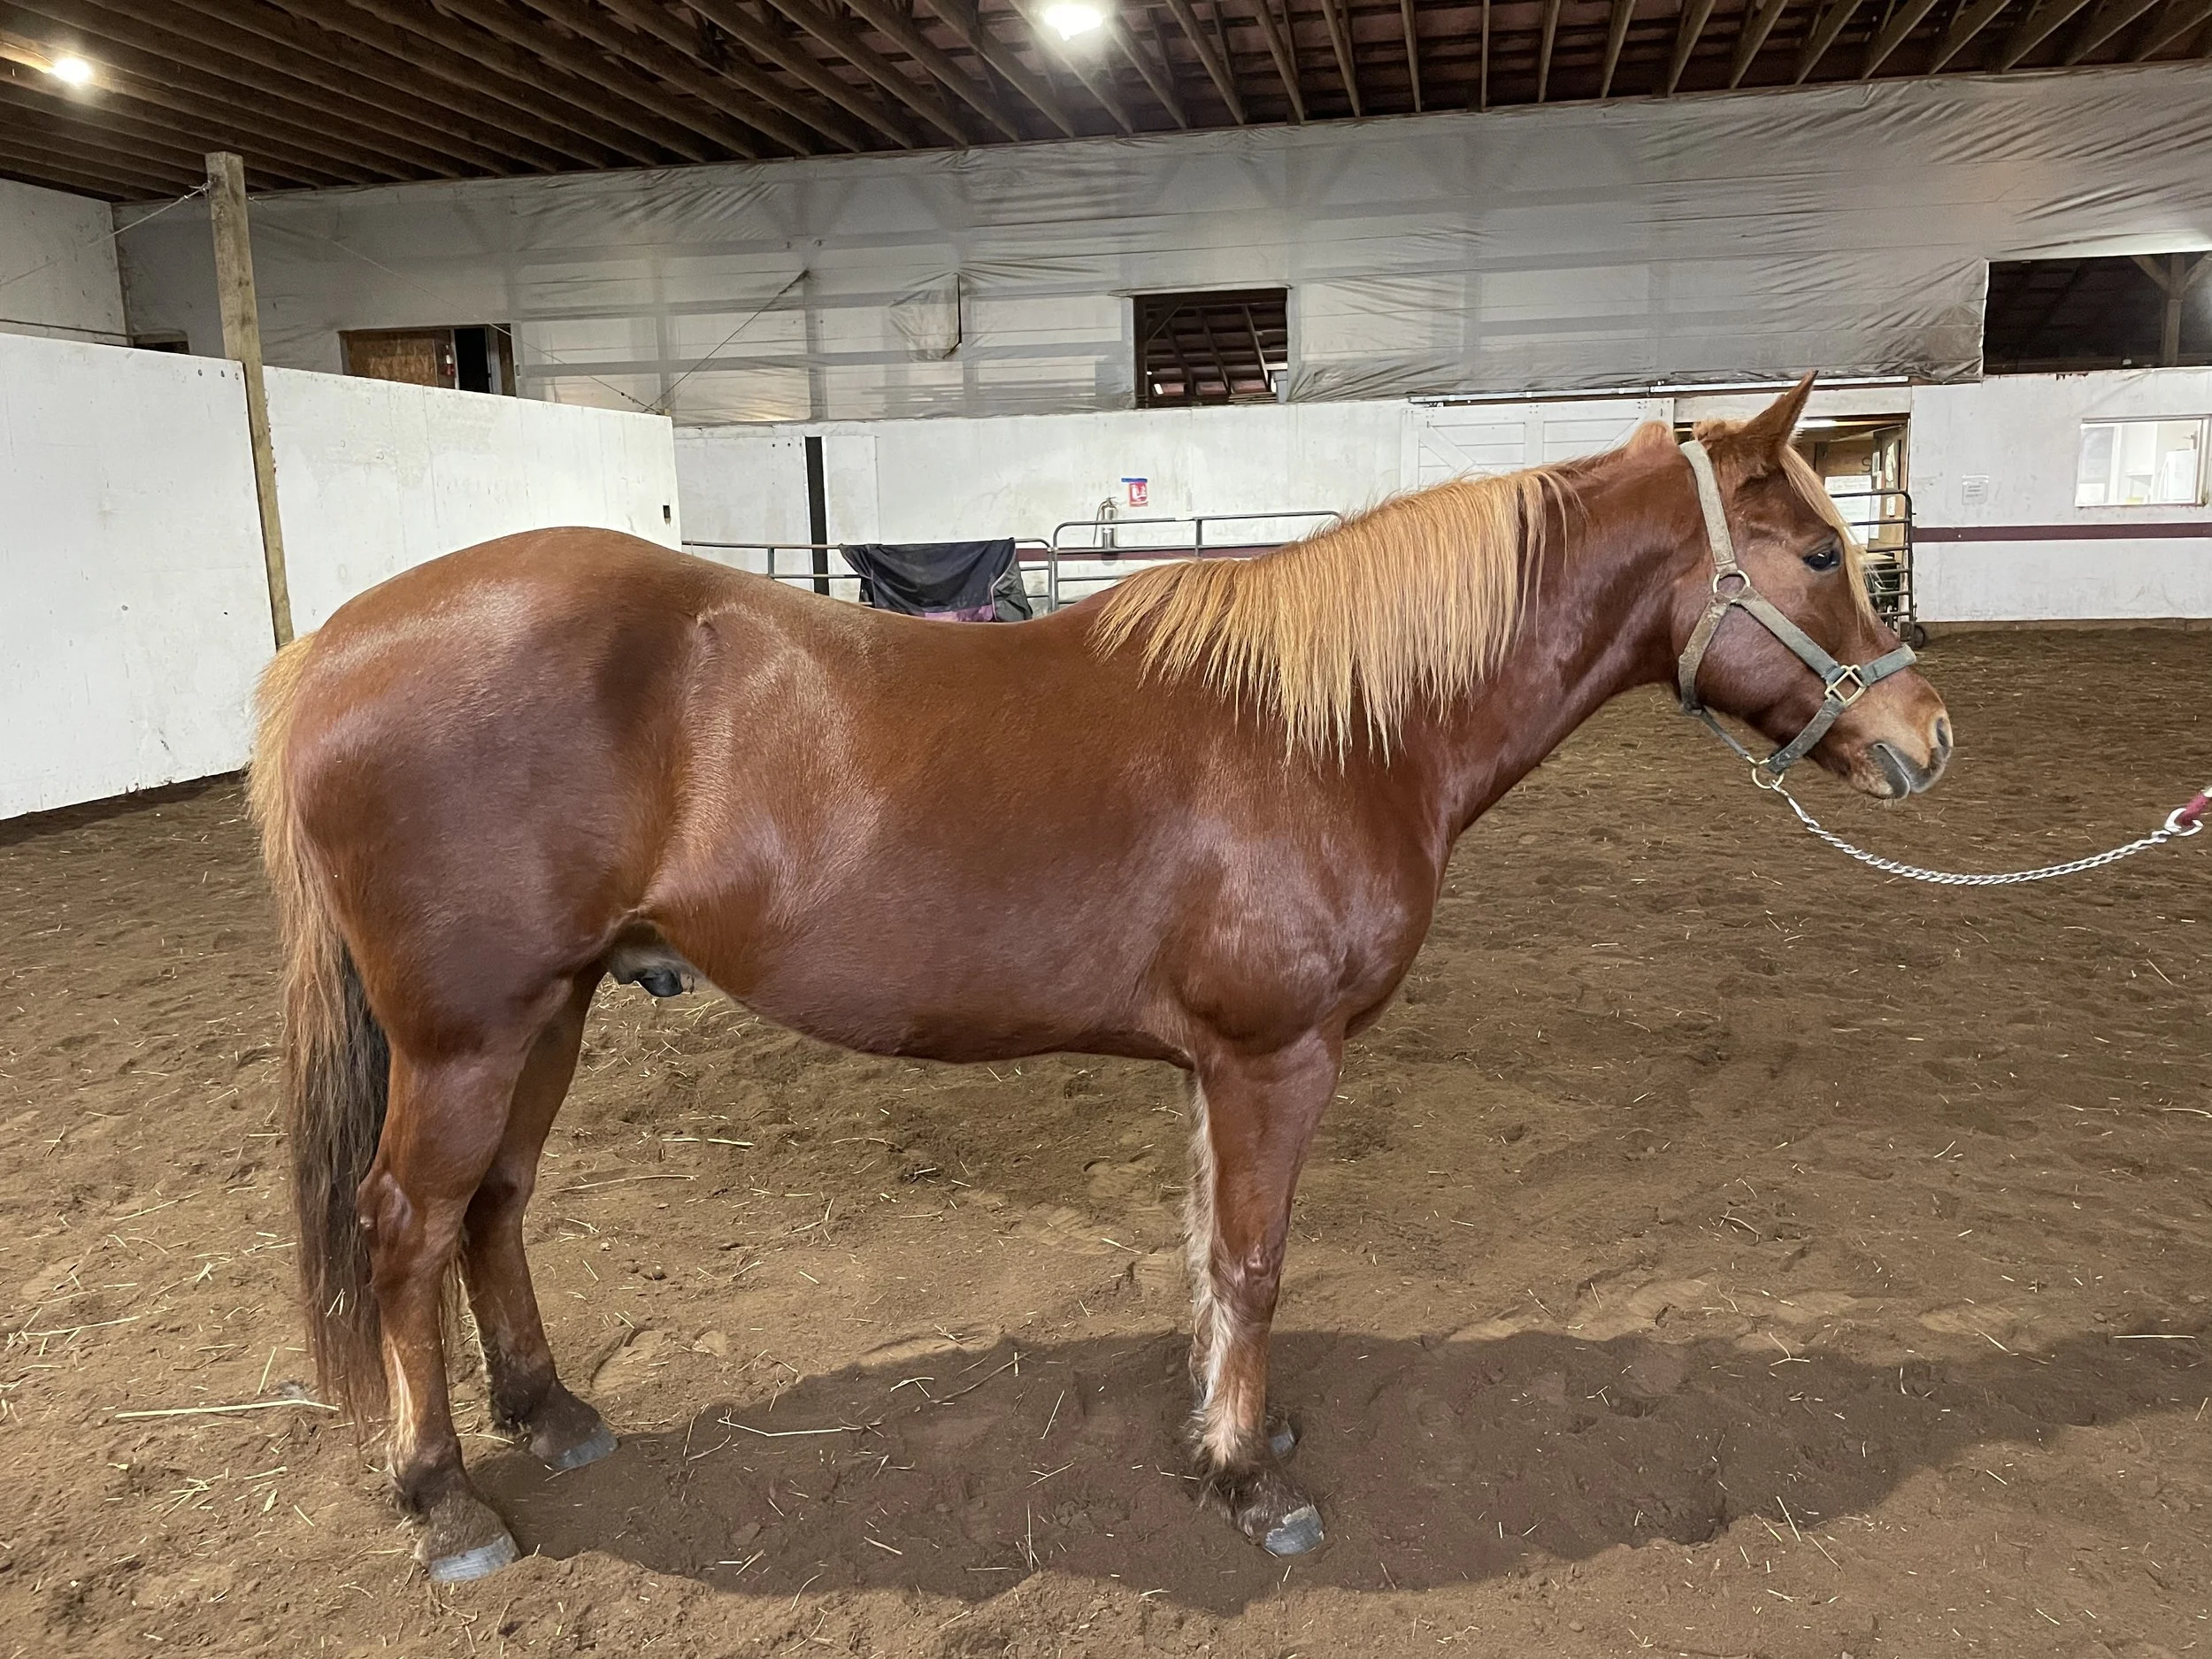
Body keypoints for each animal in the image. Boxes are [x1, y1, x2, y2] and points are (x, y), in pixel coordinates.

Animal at [248, 376, 1951, 1582]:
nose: (1926, 739)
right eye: (1818, 549)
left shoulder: (1221, 1069)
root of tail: (333, 646)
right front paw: (1254, 1478)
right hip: (464, 1034)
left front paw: (1223, 1426)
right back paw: (445, 1501)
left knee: (496, 1203)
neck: (1337, 728)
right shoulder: (1275, 1057)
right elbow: (1254, 1259)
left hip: (553, 1008)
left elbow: (1210, 1250)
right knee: (403, 1227)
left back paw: (549, 1413)